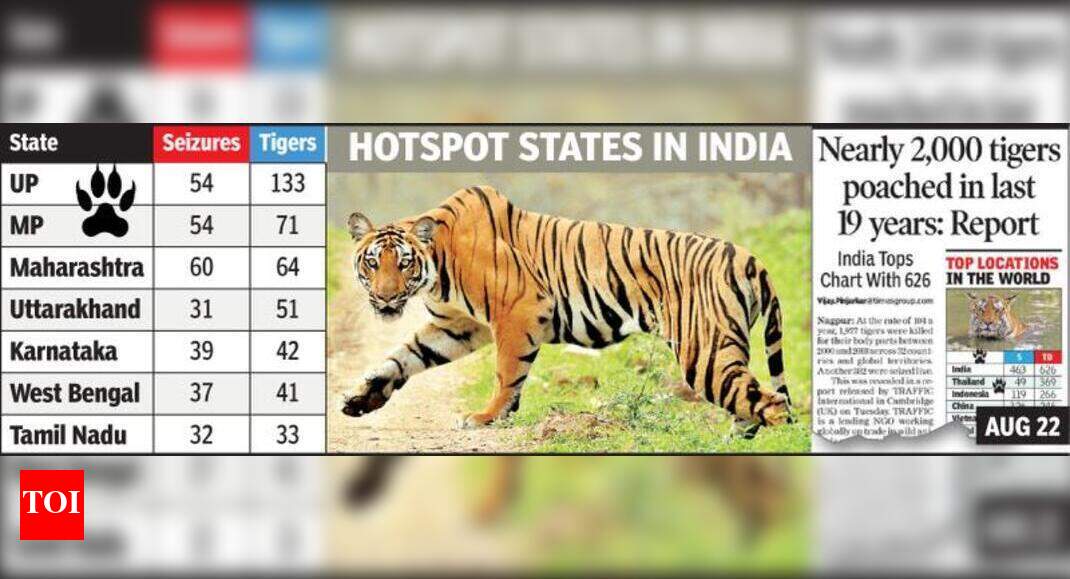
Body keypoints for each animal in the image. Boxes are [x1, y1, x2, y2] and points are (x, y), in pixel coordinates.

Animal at [341, 186, 793, 433]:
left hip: (706, 351)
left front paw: (488, 417)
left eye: (403, 263)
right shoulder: (457, 327)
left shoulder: (518, 309)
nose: (385, 298)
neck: (436, 269)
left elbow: (507, 373)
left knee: (773, 404)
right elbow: (401, 358)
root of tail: (752, 259)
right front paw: (361, 398)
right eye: (372, 263)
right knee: (755, 403)